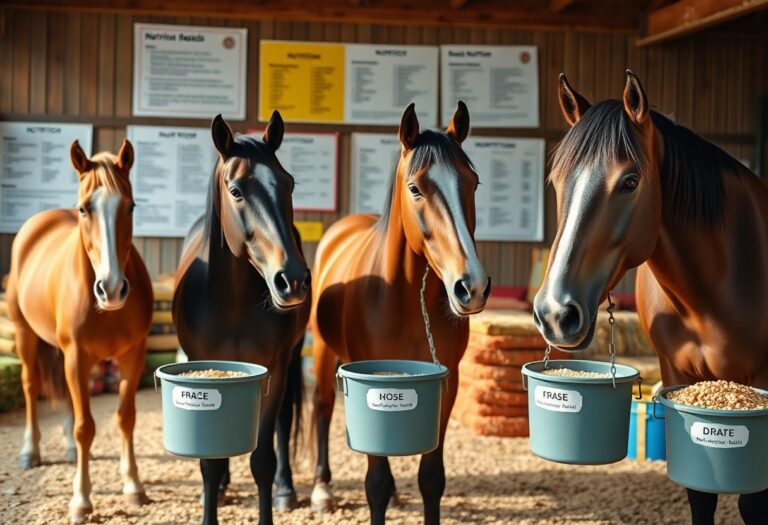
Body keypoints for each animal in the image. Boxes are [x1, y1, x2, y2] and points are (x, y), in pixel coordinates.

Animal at [6, 139, 154, 524]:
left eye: (131, 206)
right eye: (84, 209)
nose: (112, 289)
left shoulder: (133, 357)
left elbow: (125, 419)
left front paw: (134, 486)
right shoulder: (76, 356)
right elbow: (86, 426)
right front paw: (81, 500)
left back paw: (70, 451)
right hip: (26, 336)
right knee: (31, 386)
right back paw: (30, 452)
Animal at [172, 112, 311, 525]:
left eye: (289, 184)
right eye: (235, 190)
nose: (292, 279)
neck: (231, 303)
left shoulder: (275, 369)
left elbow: (263, 458)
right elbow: (210, 460)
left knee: (283, 422)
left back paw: (285, 490)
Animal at [310, 102, 490, 525]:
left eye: (473, 182)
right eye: (415, 188)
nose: (472, 286)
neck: (403, 299)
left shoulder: (447, 383)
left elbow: (432, 479)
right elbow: (374, 482)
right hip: (323, 351)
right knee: (322, 407)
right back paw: (322, 489)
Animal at [533, 70, 768, 525]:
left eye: (629, 181)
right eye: (555, 182)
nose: (554, 313)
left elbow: (753, 500)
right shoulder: (677, 375)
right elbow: (700, 495)